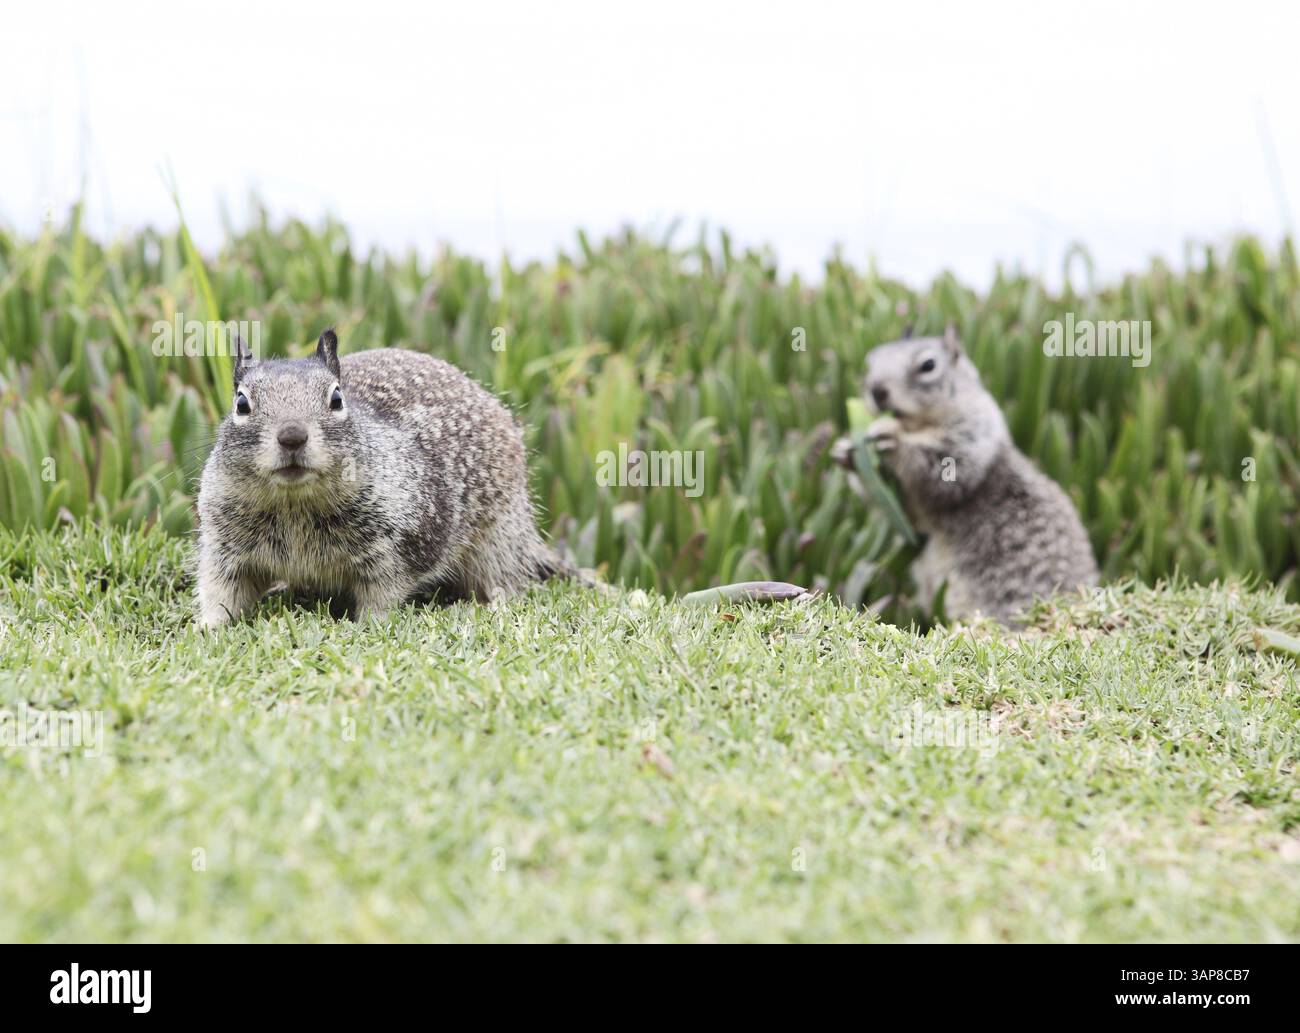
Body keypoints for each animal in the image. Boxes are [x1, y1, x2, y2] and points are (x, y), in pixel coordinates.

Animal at [195, 329, 575, 627]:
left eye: (337, 398)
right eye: (241, 403)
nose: (292, 436)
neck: (295, 503)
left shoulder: (396, 546)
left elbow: (383, 593)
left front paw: (368, 625)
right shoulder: (223, 545)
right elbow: (221, 589)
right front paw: (208, 627)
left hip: (498, 536)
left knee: (506, 577)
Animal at [833, 327, 1098, 625]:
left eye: (928, 365)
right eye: (871, 361)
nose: (876, 389)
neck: (918, 426)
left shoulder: (972, 433)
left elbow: (944, 467)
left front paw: (890, 438)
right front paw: (844, 451)